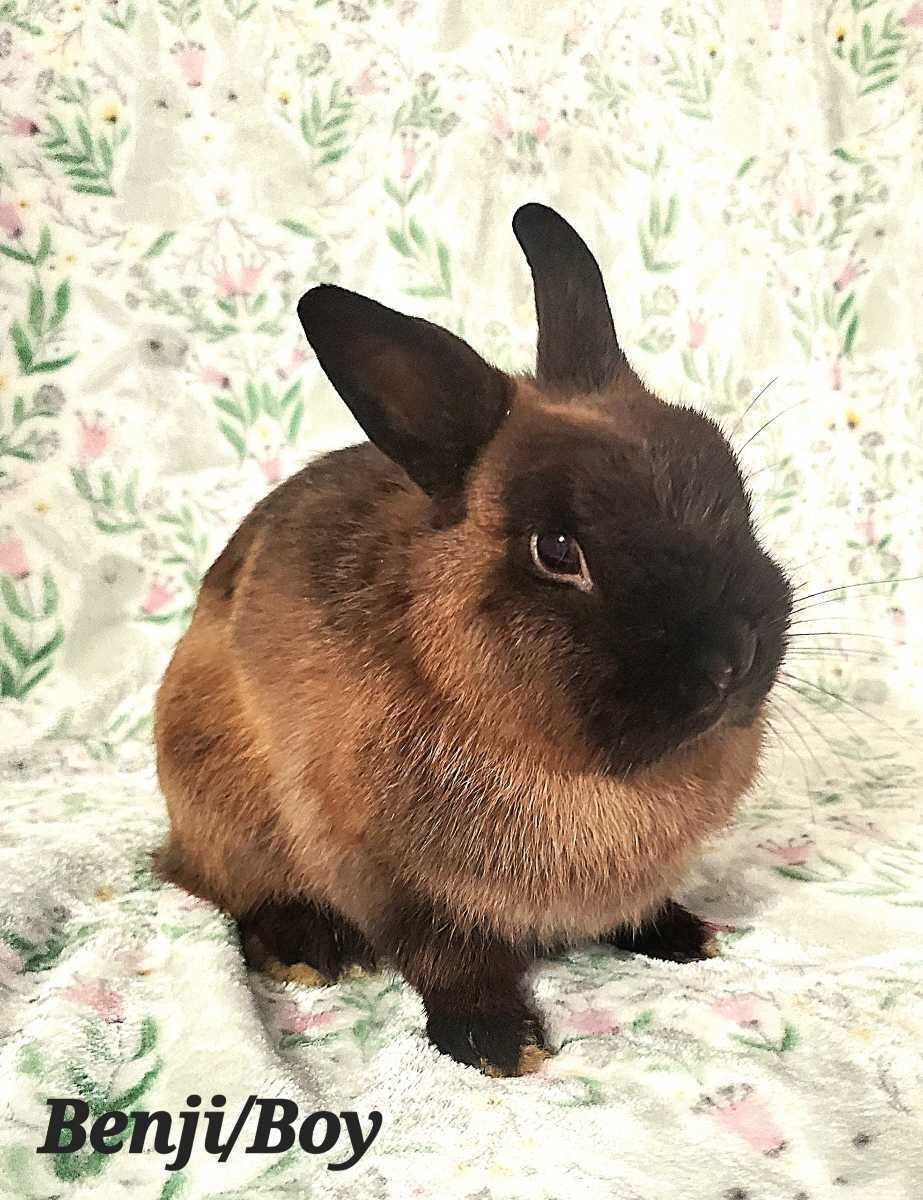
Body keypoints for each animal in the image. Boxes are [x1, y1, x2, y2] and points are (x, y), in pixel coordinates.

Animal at [154, 203, 793, 1076]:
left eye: (728, 485)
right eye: (556, 551)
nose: (732, 660)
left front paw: (680, 934)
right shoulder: (390, 876)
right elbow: (445, 956)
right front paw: (497, 1044)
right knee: (222, 887)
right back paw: (309, 949)